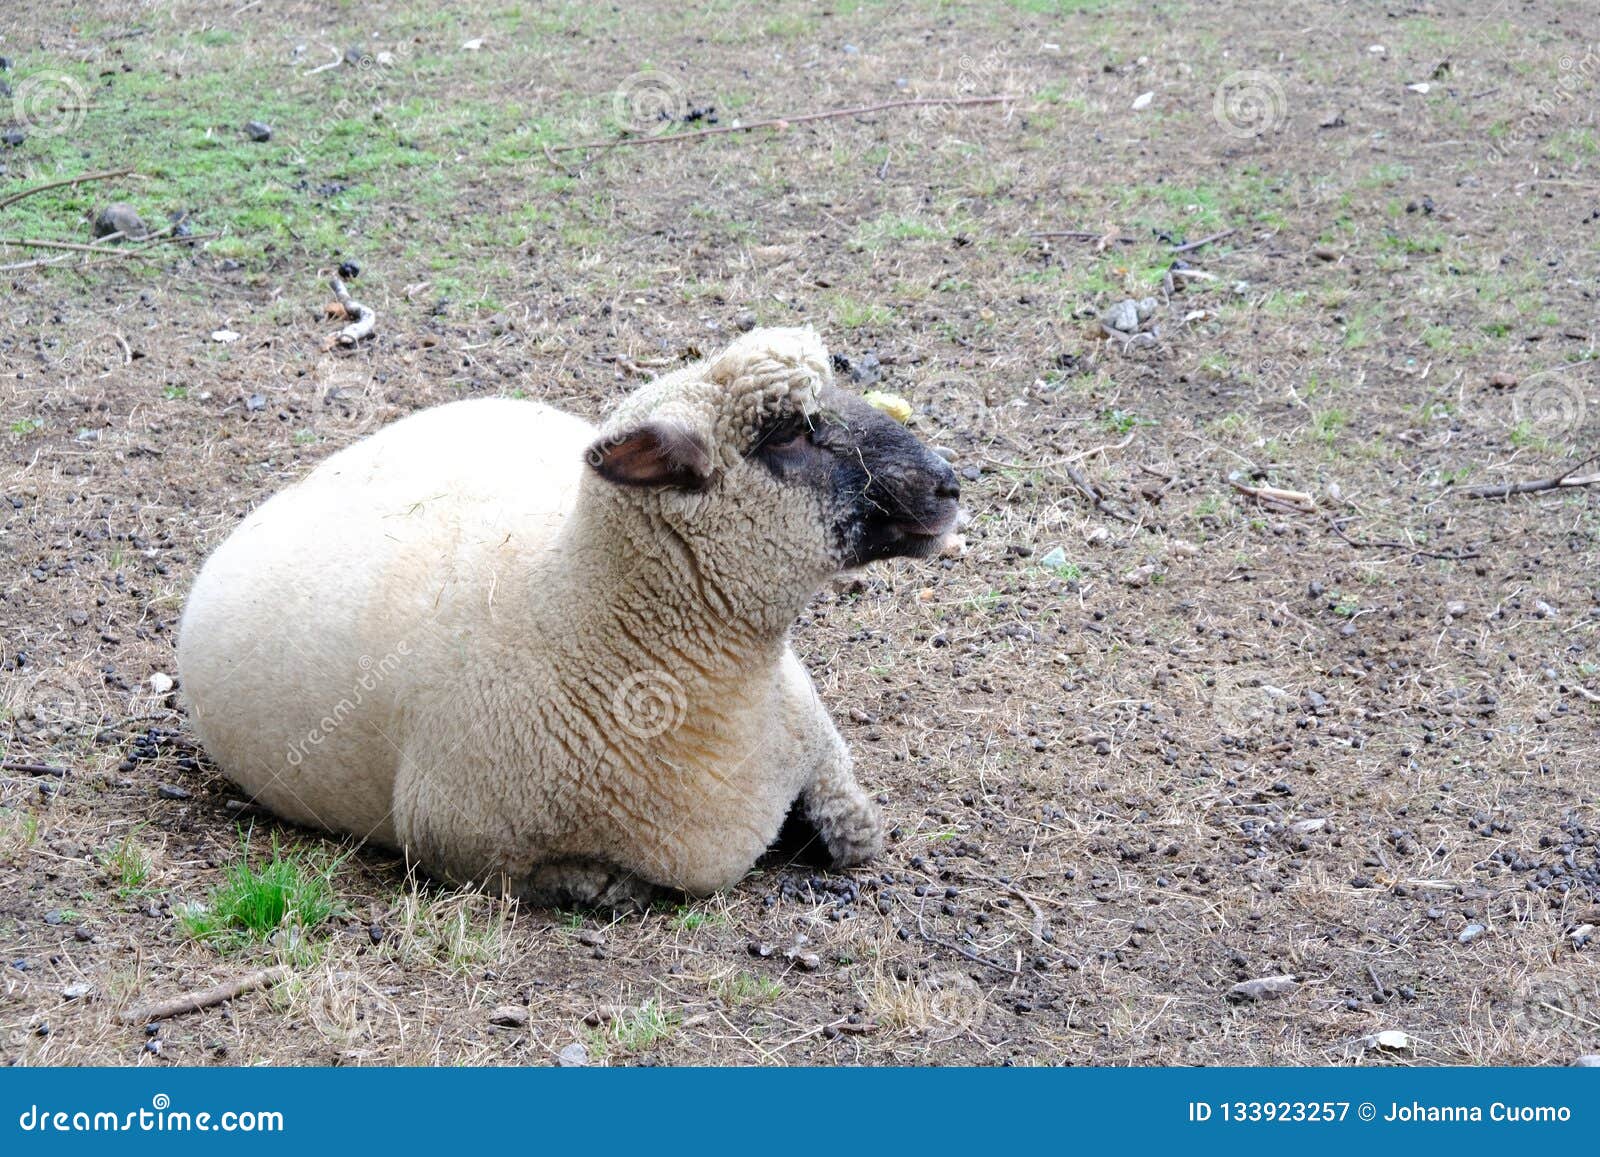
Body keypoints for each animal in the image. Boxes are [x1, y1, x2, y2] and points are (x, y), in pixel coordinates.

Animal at [177, 327, 960, 908]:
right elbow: (602, 886)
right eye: (787, 434)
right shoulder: (464, 846)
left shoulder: (819, 755)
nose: (950, 484)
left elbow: (858, 834)